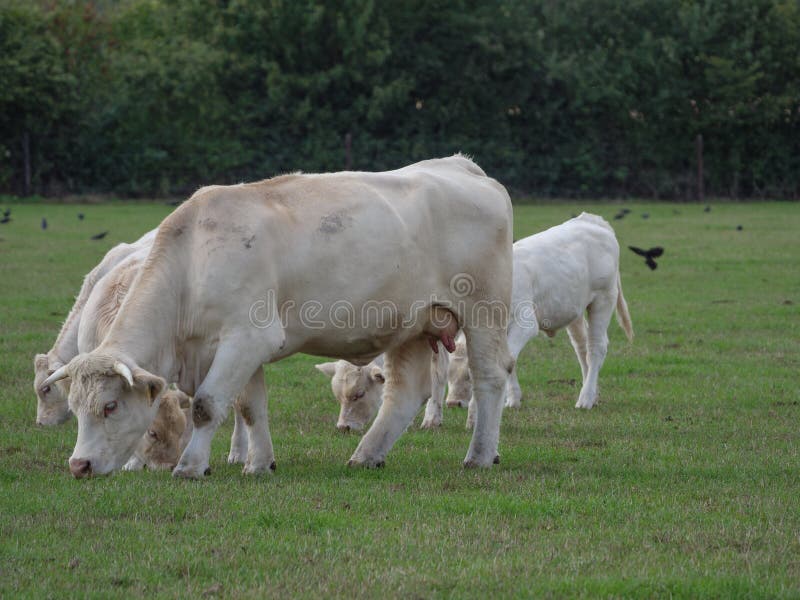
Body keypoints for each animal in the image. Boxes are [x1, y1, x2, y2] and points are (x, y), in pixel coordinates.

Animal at [445, 212, 633, 426]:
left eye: (469, 376)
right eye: (448, 374)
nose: (452, 403)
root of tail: (593, 221)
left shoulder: (525, 324)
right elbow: (509, 361)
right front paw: (513, 398)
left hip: (603, 299)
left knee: (596, 348)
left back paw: (585, 398)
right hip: (573, 309)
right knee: (582, 347)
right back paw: (593, 395)